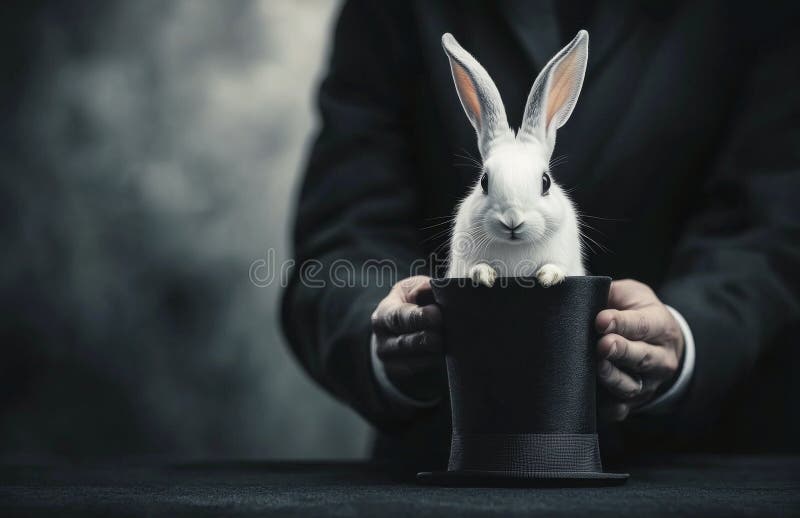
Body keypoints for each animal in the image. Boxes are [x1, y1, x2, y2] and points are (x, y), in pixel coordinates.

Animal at [442, 30, 589, 287]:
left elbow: (557, 266)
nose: (512, 220)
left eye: (545, 182)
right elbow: (476, 267)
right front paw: (483, 275)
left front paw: (548, 276)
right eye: (484, 182)